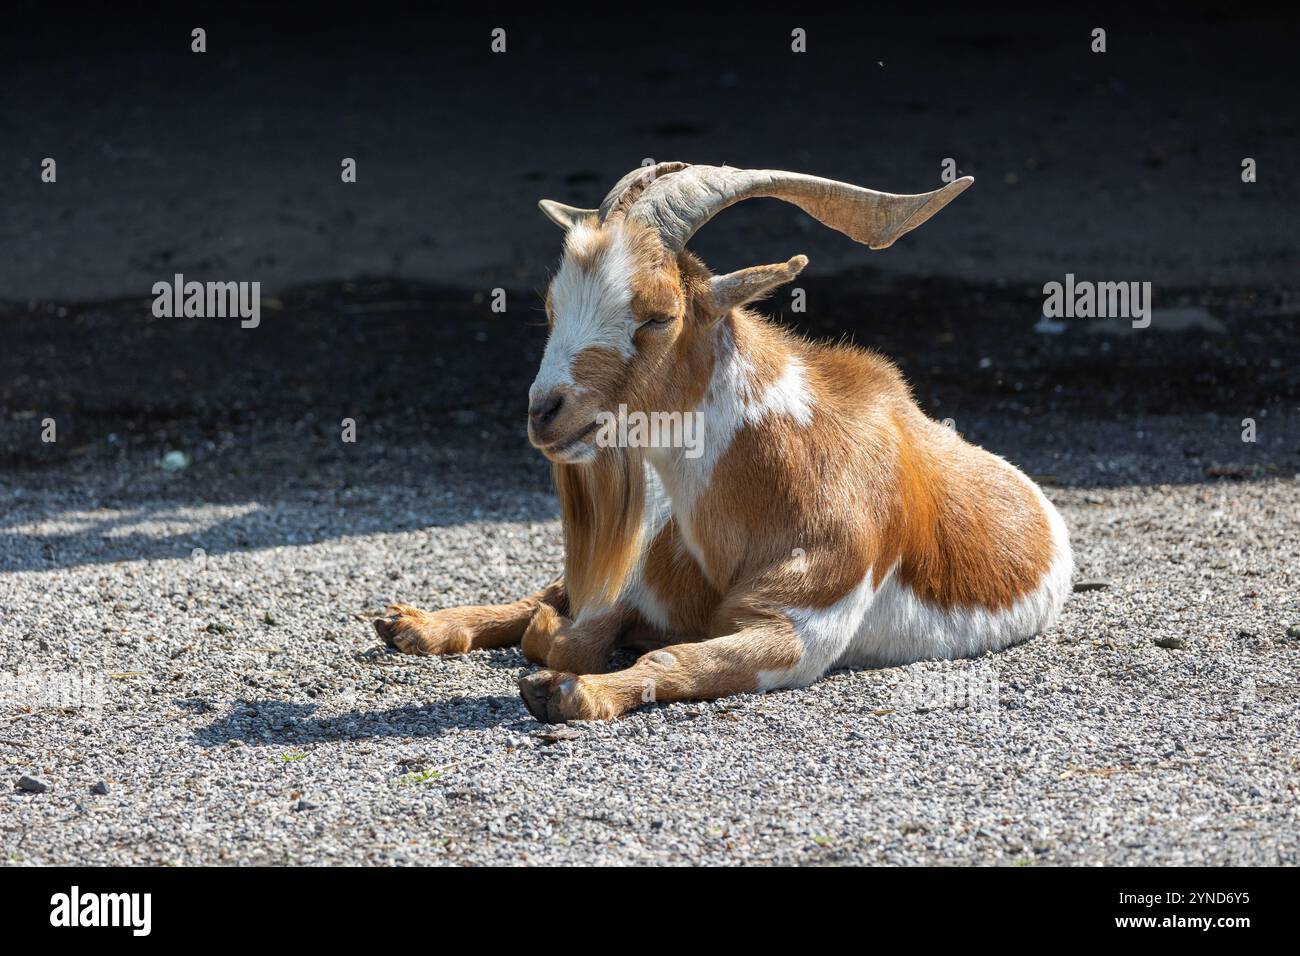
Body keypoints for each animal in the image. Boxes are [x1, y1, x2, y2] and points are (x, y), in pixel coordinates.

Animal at [375, 163, 1073, 723]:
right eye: (551, 307)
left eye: (658, 315)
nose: (545, 412)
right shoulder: (641, 581)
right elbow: (581, 627)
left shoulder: (796, 633)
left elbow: (665, 656)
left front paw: (572, 691)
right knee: (543, 594)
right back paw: (411, 626)